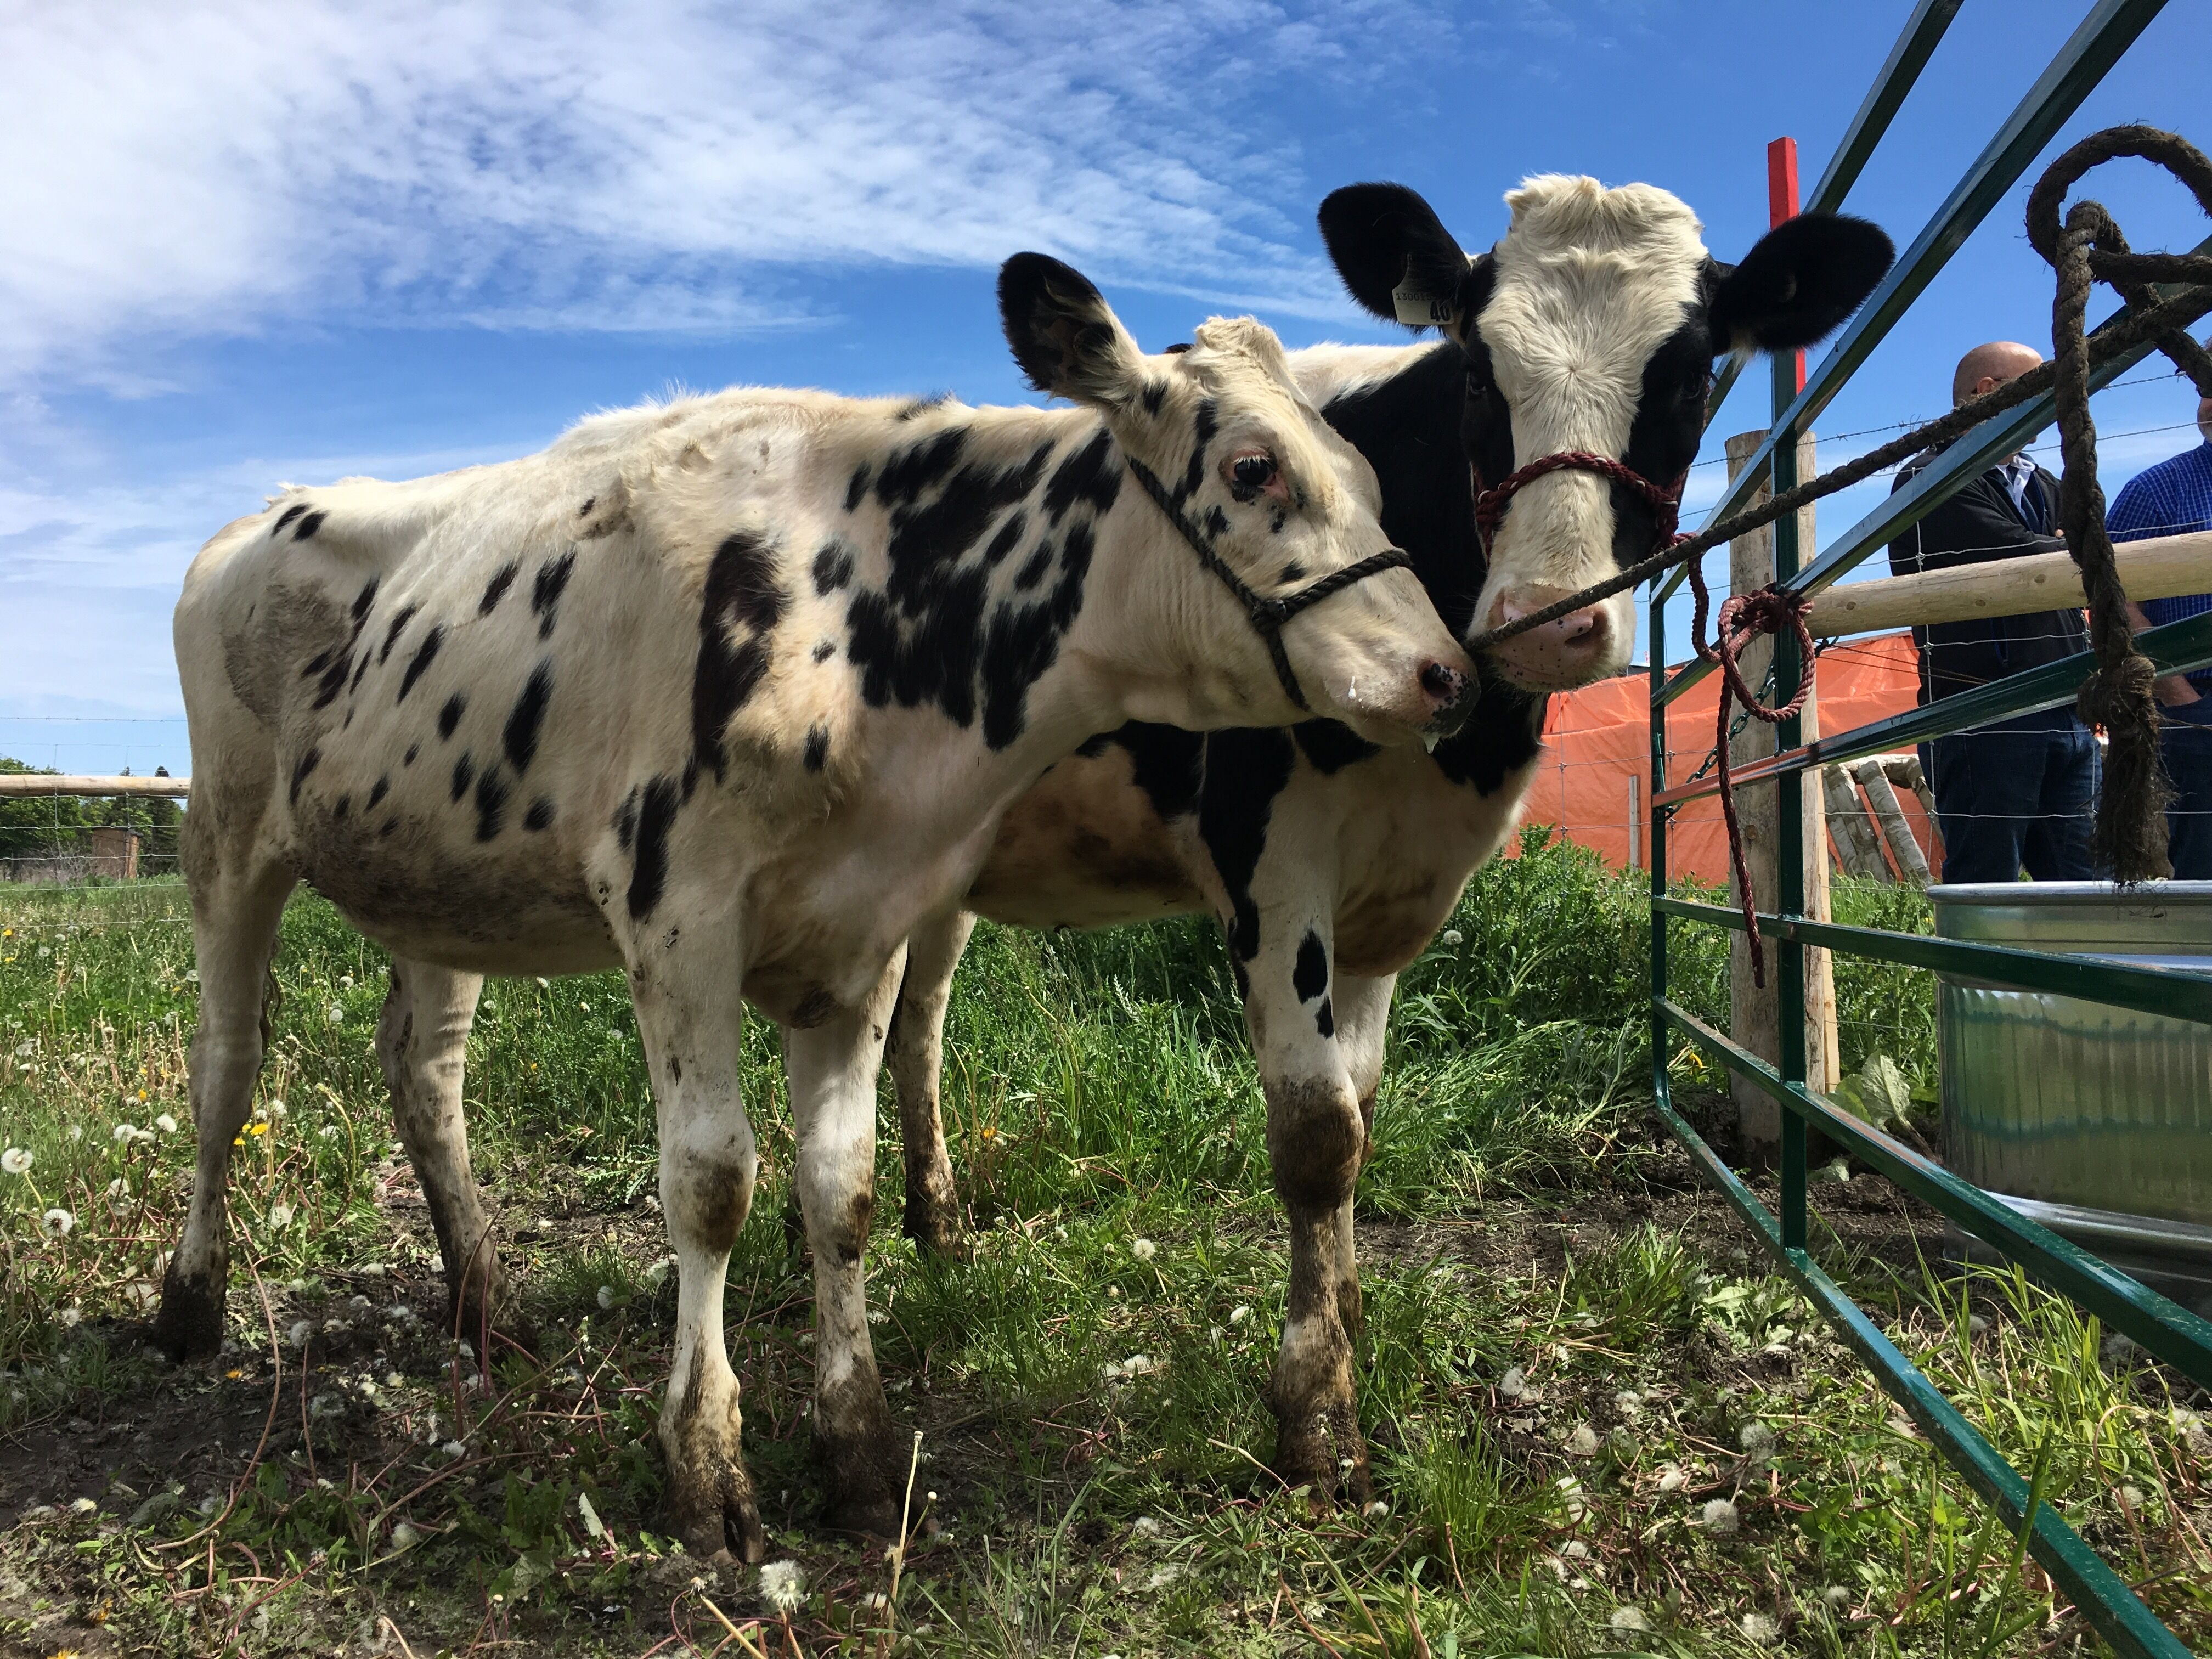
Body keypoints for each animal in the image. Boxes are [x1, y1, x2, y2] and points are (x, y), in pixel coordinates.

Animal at [151, 253, 1482, 1559]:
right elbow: (711, 1183)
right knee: (225, 1069)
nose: (1448, 674)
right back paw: (190, 1304)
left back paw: (485, 1307)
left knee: (425, 1070)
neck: (862, 620)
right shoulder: (676, 912)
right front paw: (706, 1465)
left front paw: (859, 1452)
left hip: (438, 884)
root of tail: (253, 518)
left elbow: (838, 1188)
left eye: (1372, 474)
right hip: (225, 836)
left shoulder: (863, 926)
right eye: (1253, 468)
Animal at [883, 178, 1894, 1505]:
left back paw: (936, 1223)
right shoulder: (1268, 855)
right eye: (1473, 366)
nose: (1546, 623)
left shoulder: (1398, 890)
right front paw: (1316, 1410)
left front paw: (1350, 1323)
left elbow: (1361, 1107)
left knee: (917, 1023)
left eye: (1689, 375)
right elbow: (1319, 1132)